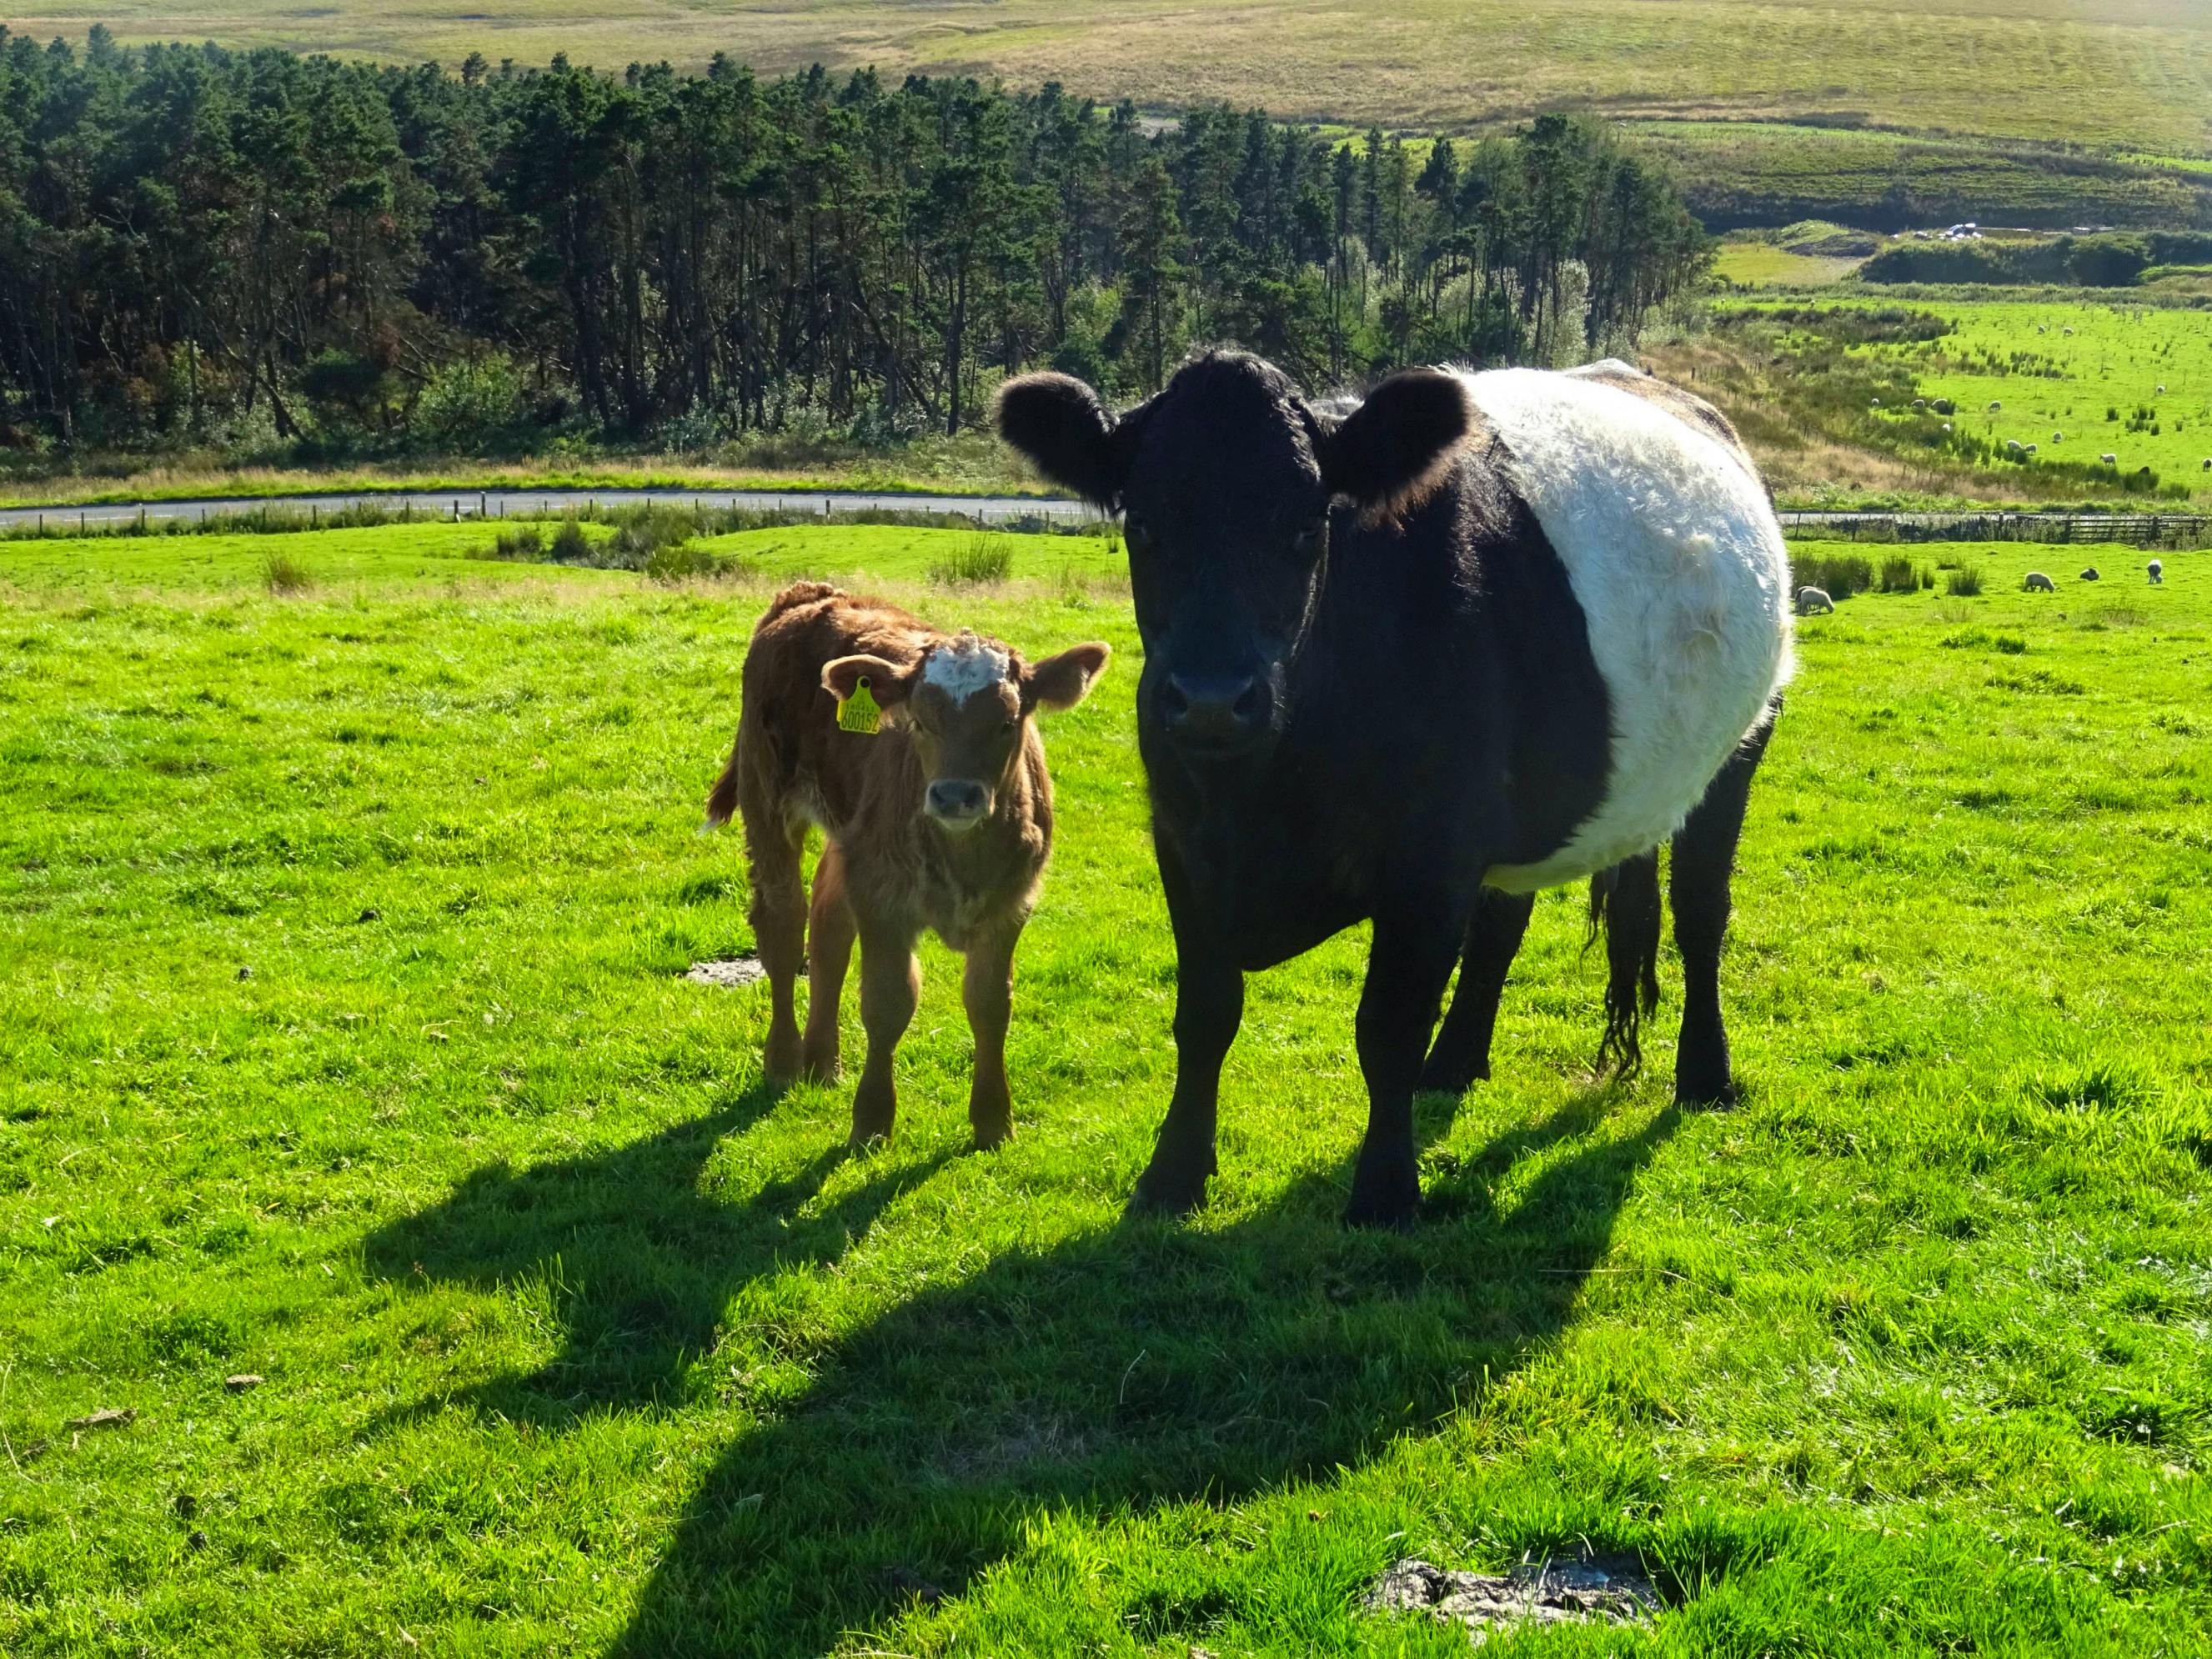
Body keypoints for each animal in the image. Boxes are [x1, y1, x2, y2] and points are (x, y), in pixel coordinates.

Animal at [704, 582, 1109, 1150]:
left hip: (847, 837)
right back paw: (784, 1061)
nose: (954, 795)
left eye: (1008, 724)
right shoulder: (883, 900)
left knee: (828, 928)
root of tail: (812, 594)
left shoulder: (1010, 906)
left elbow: (990, 1006)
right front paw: (872, 1120)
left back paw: (822, 1062)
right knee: (783, 927)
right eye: (919, 721)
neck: (963, 858)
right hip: (766, 797)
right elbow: (888, 1003)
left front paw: (993, 1120)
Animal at [997, 351, 1791, 1227]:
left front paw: (1383, 1193)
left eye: (1307, 527)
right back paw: (1454, 1064)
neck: (1260, 798)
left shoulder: (1429, 860)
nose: (1209, 699)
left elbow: (1386, 1027)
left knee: (1700, 914)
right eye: (1141, 525)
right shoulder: (1183, 839)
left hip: (1739, 749)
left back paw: (1705, 1075)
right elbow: (1205, 1013)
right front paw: (1170, 1178)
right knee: (1503, 923)